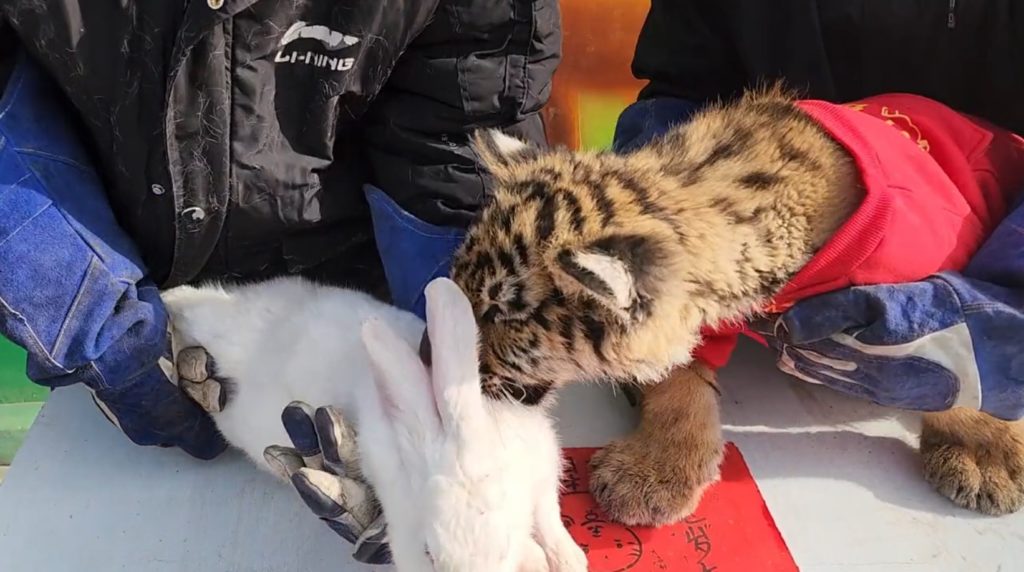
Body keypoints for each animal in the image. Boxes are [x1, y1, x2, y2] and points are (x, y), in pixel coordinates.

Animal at [449, 86, 1024, 525]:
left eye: (500, 314)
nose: (439, 353)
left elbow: (966, 346)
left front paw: (987, 455)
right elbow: (676, 379)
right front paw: (651, 476)